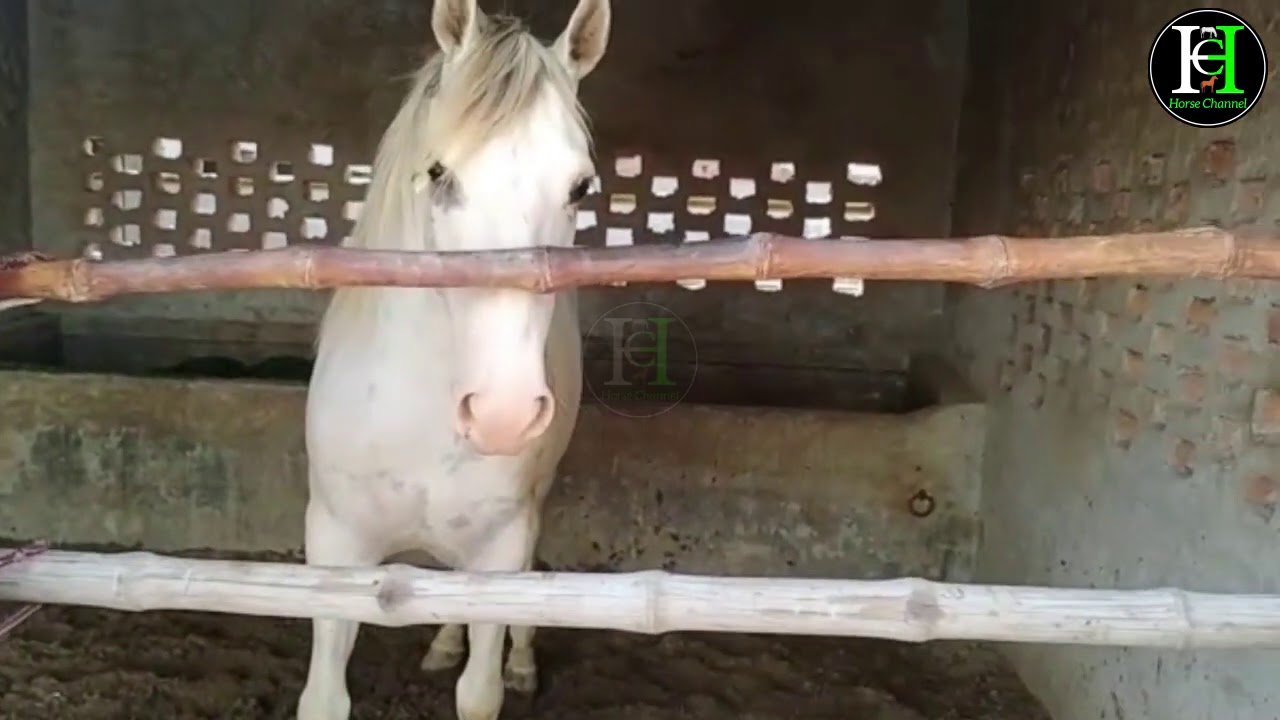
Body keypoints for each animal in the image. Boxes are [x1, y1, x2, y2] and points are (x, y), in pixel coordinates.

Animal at [297, 0, 611, 717]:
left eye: (580, 187)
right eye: (438, 173)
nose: (502, 412)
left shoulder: (499, 550)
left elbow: (480, 690)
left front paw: (505, 665)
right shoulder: (333, 545)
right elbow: (323, 696)